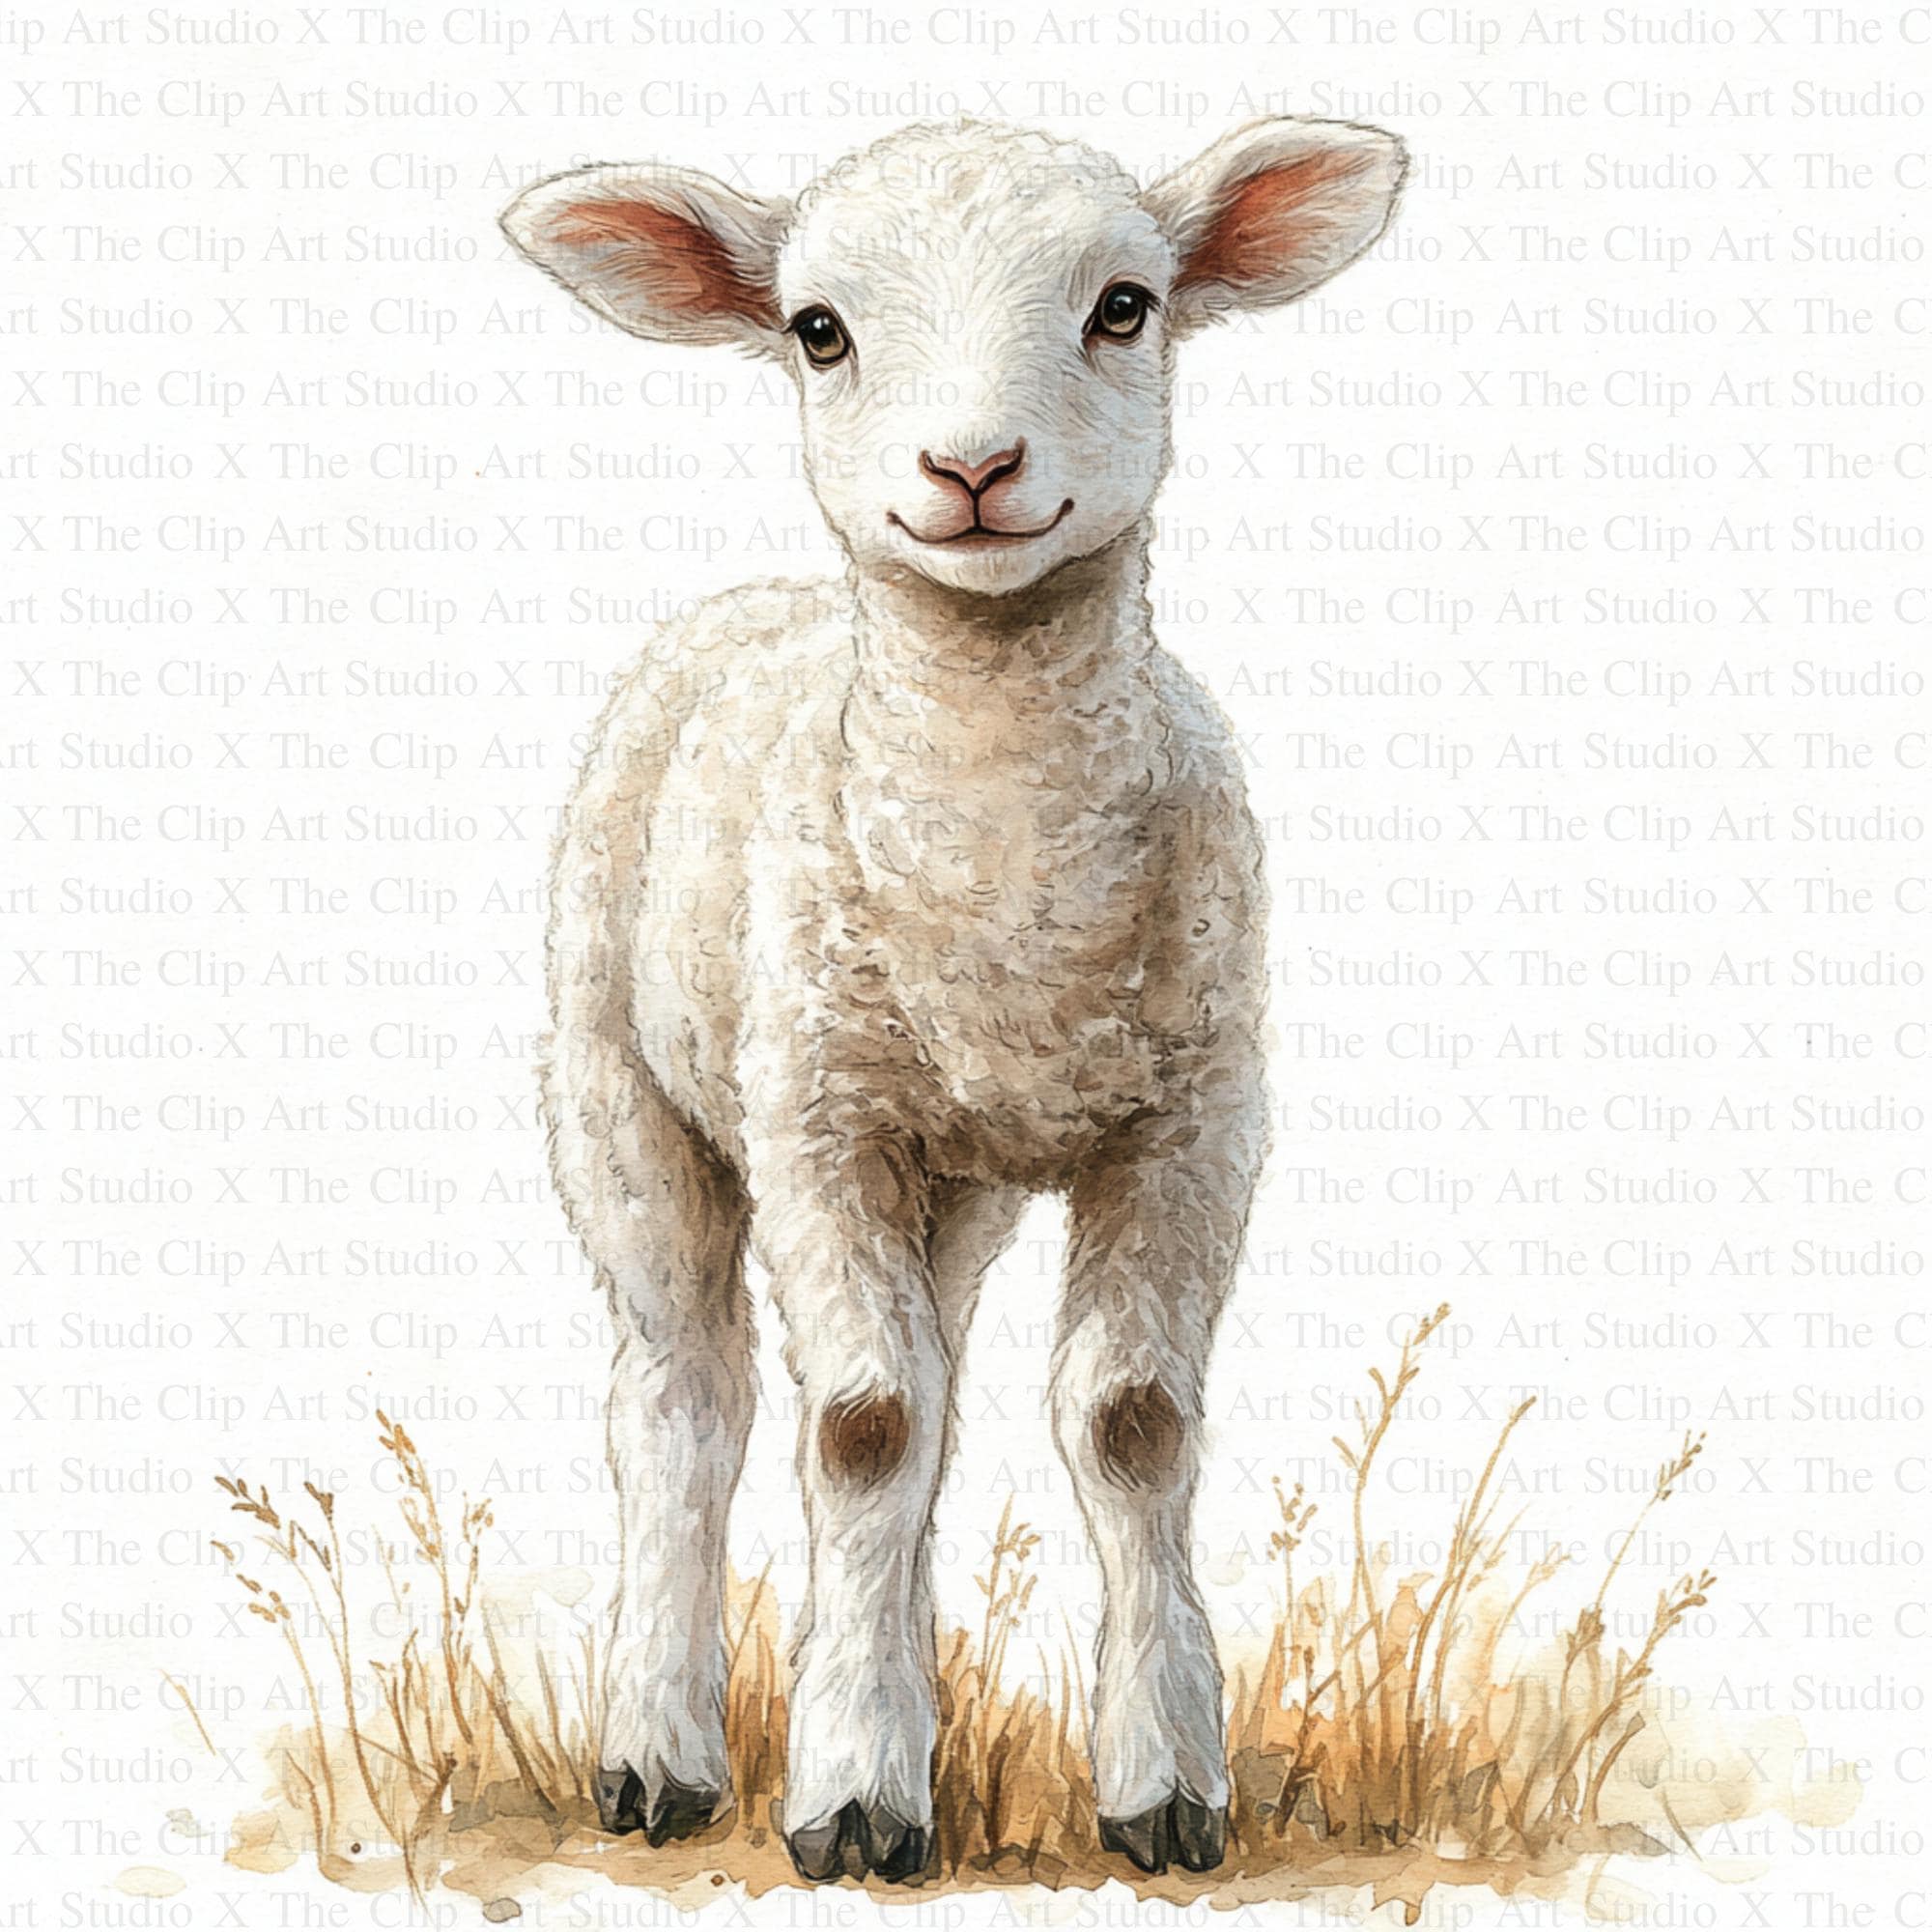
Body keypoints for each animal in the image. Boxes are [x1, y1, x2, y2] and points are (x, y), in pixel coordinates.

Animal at [500, 116, 1405, 1883]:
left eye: (1125, 306)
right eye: (818, 330)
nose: (971, 471)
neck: (1007, 894)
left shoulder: (1193, 1124)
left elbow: (1129, 1424)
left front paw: (1164, 1792)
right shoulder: (820, 1118)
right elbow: (858, 1423)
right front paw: (852, 1799)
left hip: (957, 1180)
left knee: (922, 1411)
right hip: (622, 1098)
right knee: (685, 1405)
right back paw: (660, 1755)